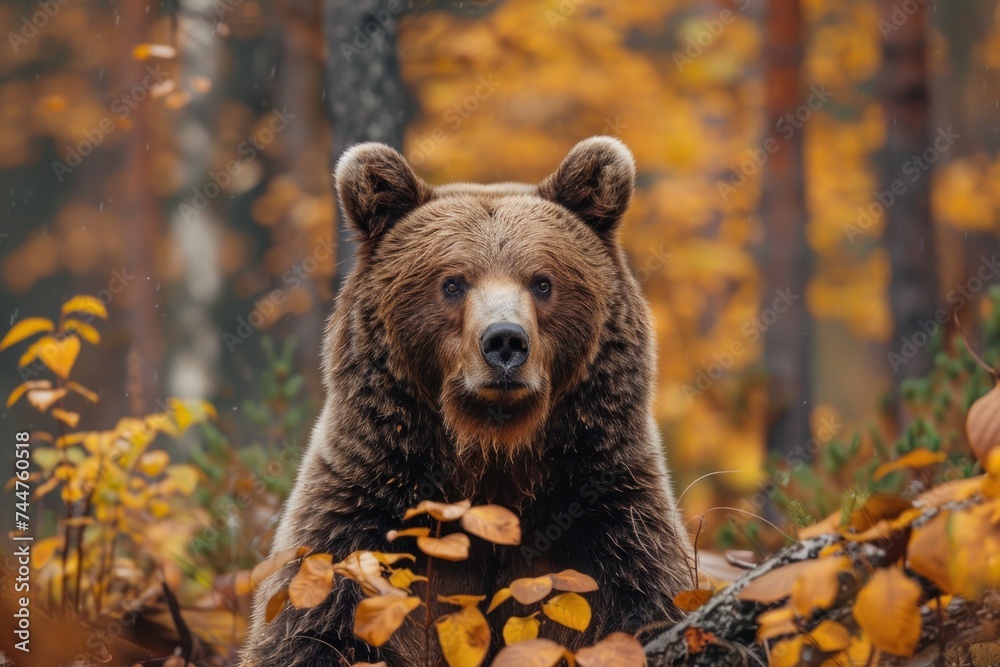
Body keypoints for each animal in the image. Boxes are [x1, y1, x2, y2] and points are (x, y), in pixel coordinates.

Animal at [242, 136, 693, 666]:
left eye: (542, 282)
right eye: (452, 282)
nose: (505, 342)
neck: (491, 460)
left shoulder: (606, 516)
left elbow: (644, 602)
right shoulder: (362, 517)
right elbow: (313, 629)